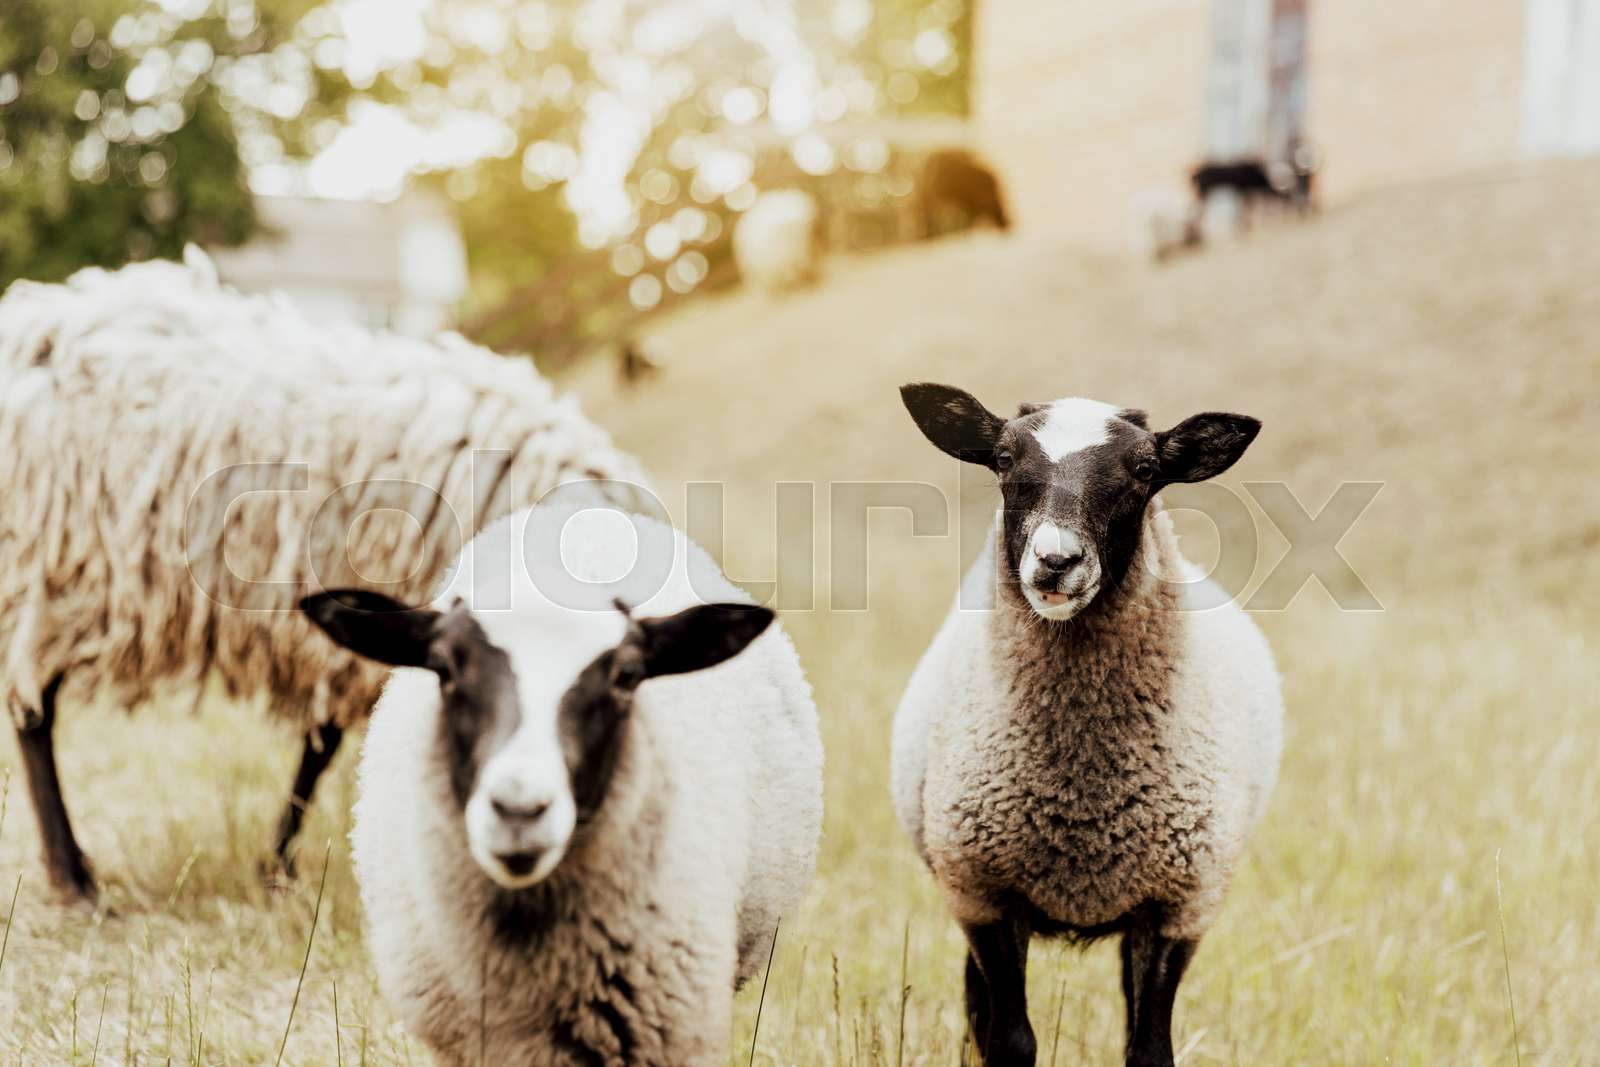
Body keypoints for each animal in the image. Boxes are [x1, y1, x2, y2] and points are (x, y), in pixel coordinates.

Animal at [0, 249, 653, 903]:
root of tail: (29, 323)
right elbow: (330, 746)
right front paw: (288, 865)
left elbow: (322, 744)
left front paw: (279, 866)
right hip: (50, 571)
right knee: (34, 715)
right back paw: (72, 877)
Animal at [891, 383, 1283, 1067]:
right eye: (1002, 460)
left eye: (1146, 471)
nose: (1056, 561)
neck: (1082, 792)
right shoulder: (986, 893)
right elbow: (1009, 1039)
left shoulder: (1179, 905)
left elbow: (1149, 1049)